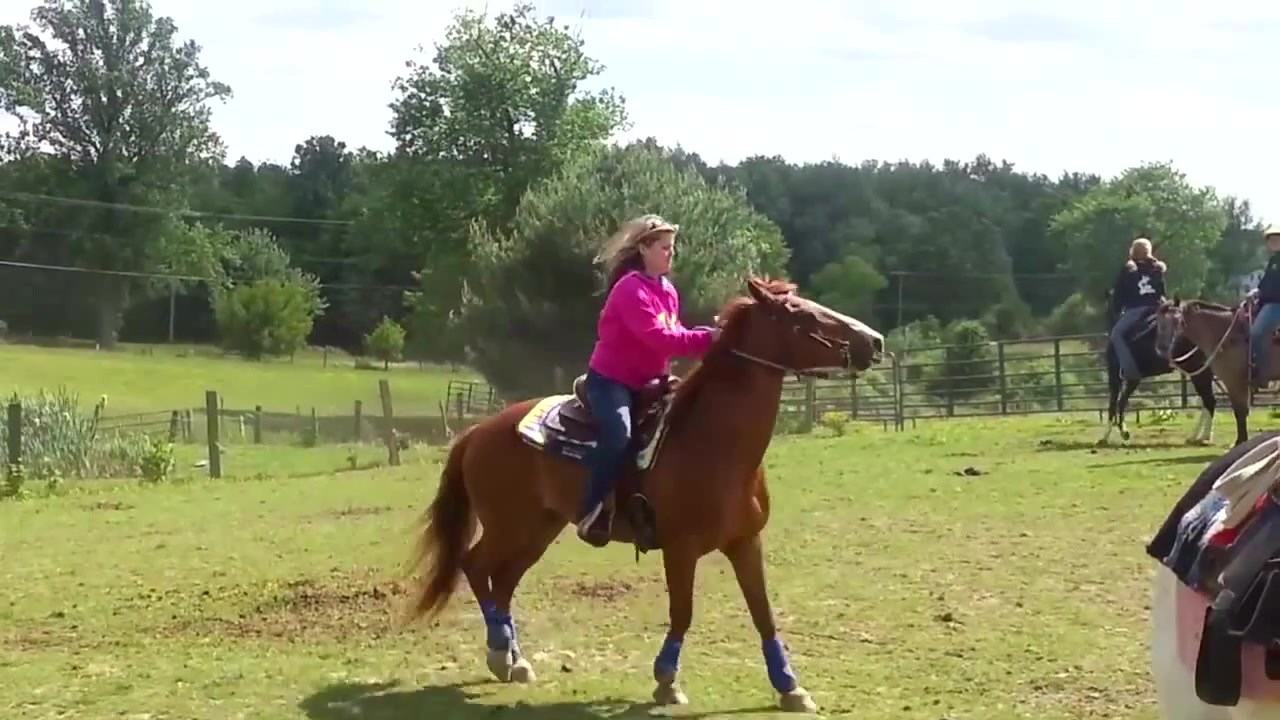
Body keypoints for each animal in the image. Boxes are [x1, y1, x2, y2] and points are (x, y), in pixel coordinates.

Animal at [403, 277, 886, 714]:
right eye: (801, 314)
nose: (875, 341)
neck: (715, 443)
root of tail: (478, 431)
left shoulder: (746, 542)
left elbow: (763, 612)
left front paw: (790, 686)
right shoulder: (680, 548)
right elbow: (683, 611)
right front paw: (667, 682)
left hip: (539, 528)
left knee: (502, 581)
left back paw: (515, 660)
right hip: (509, 525)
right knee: (475, 565)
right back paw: (499, 654)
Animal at [1100, 301, 1218, 446]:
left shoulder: (1117, 376)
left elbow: (1114, 403)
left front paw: (1109, 436)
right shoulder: (1131, 379)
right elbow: (1120, 402)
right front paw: (1122, 432)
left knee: (1209, 401)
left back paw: (1203, 437)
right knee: (1207, 401)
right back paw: (1198, 437)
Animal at [1155, 298, 1268, 447]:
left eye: (1177, 320)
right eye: (1158, 320)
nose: (1161, 348)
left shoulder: (1231, 379)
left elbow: (1239, 410)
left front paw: (1240, 442)